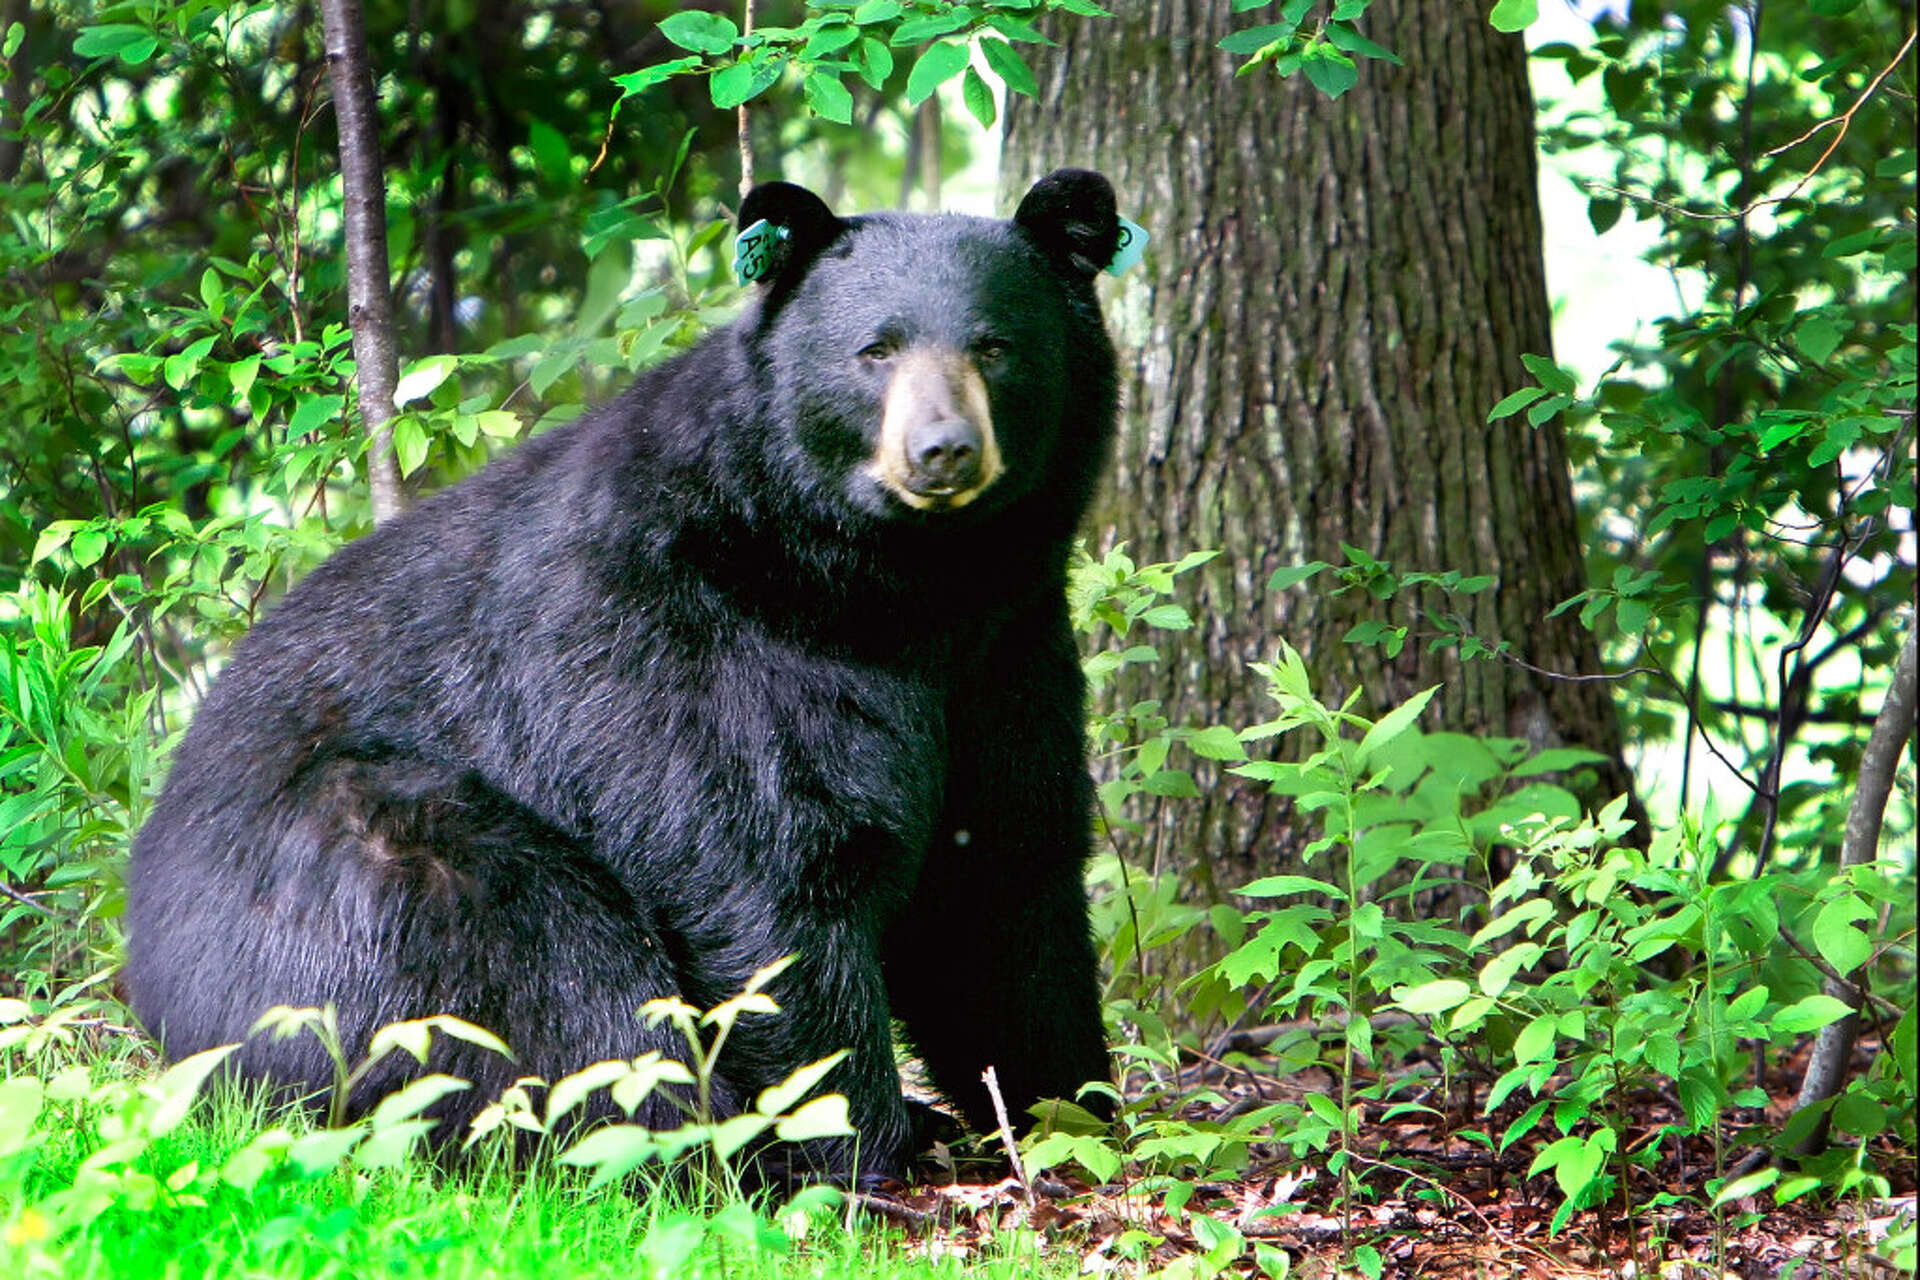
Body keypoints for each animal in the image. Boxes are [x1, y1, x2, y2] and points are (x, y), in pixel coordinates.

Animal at [123, 169, 1127, 1182]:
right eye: (874, 350)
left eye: (996, 346)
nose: (944, 449)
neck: (900, 594)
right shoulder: (685, 648)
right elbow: (768, 878)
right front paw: (853, 1148)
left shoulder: (1006, 657)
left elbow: (1004, 878)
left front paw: (1076, 1114)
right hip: (362, 882)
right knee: (552, 980)